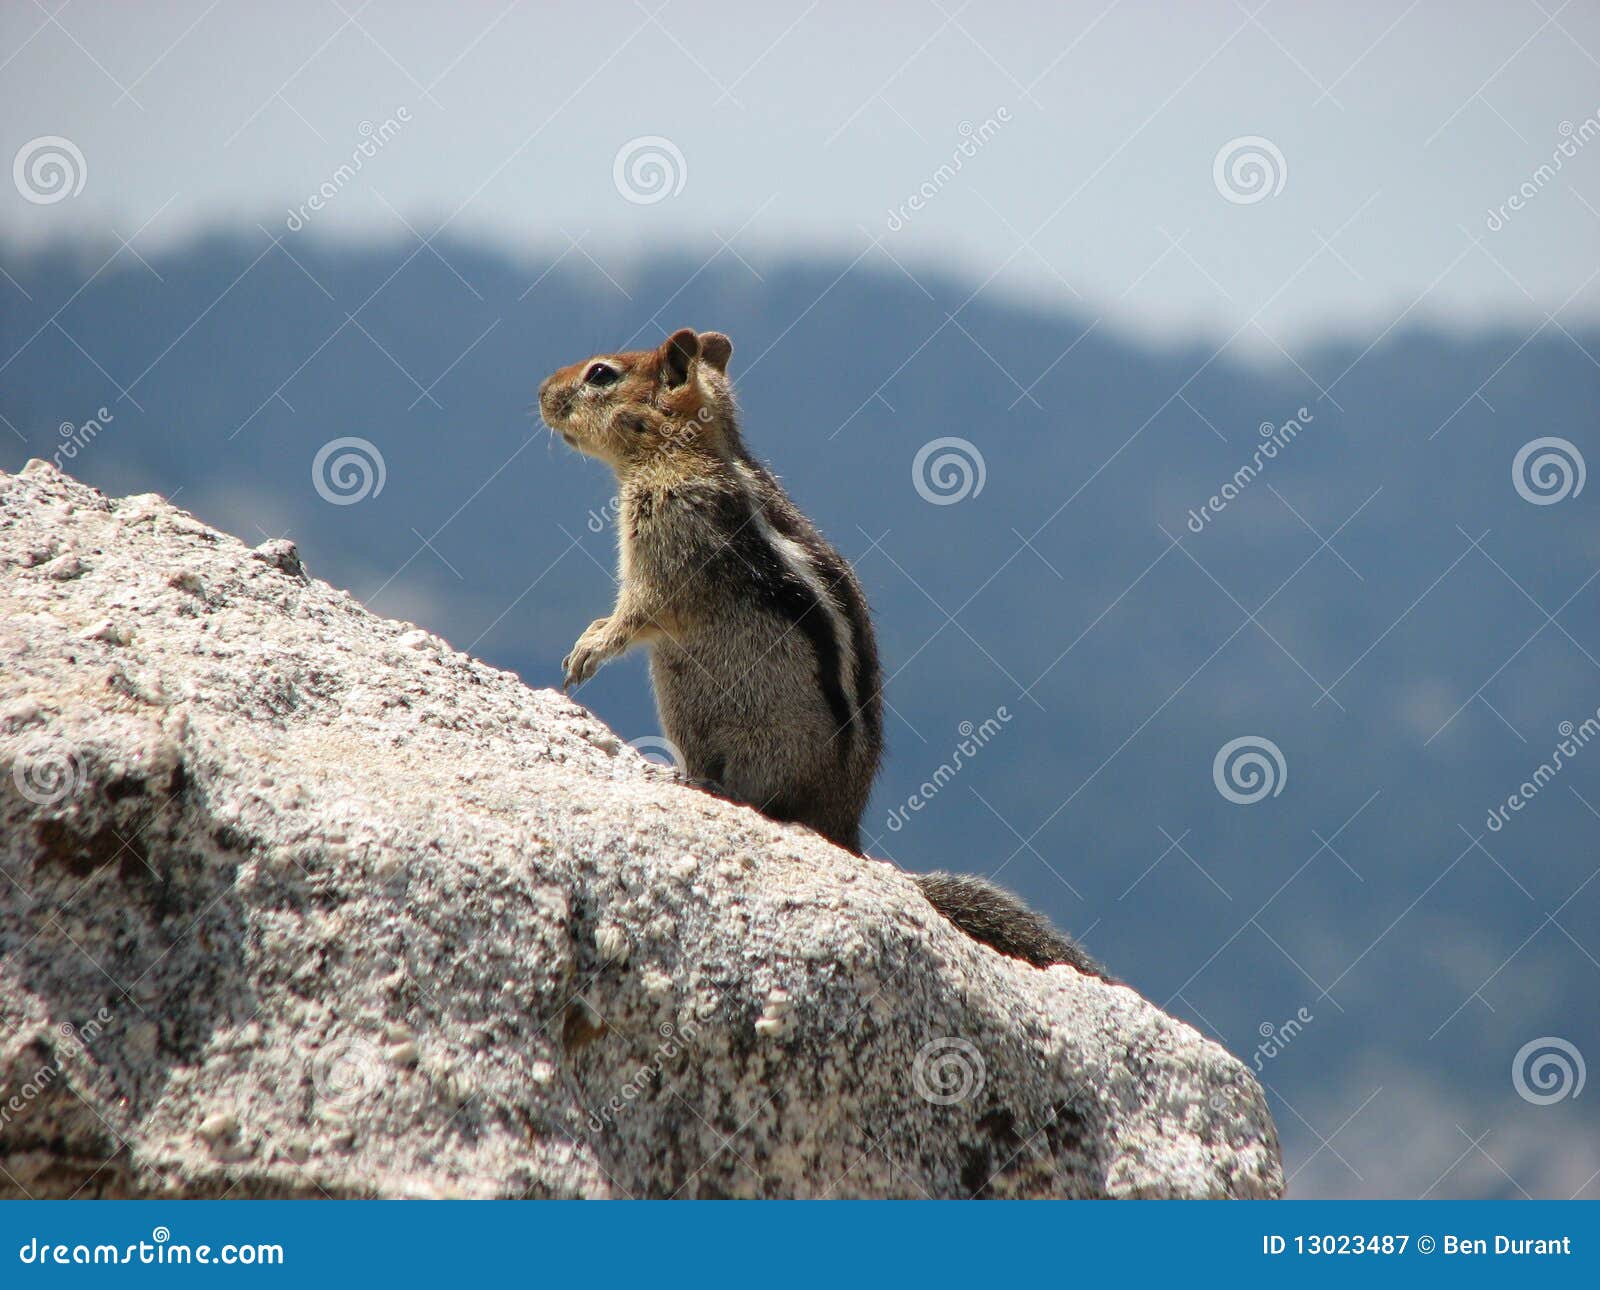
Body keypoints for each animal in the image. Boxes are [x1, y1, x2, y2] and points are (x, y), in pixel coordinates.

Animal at [538, 328, 1105, 978]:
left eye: (601, 374)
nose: (541, 394)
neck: (689, 450)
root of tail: (843, 826)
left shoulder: (673, 543)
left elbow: (640, 611)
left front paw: (589, 647)